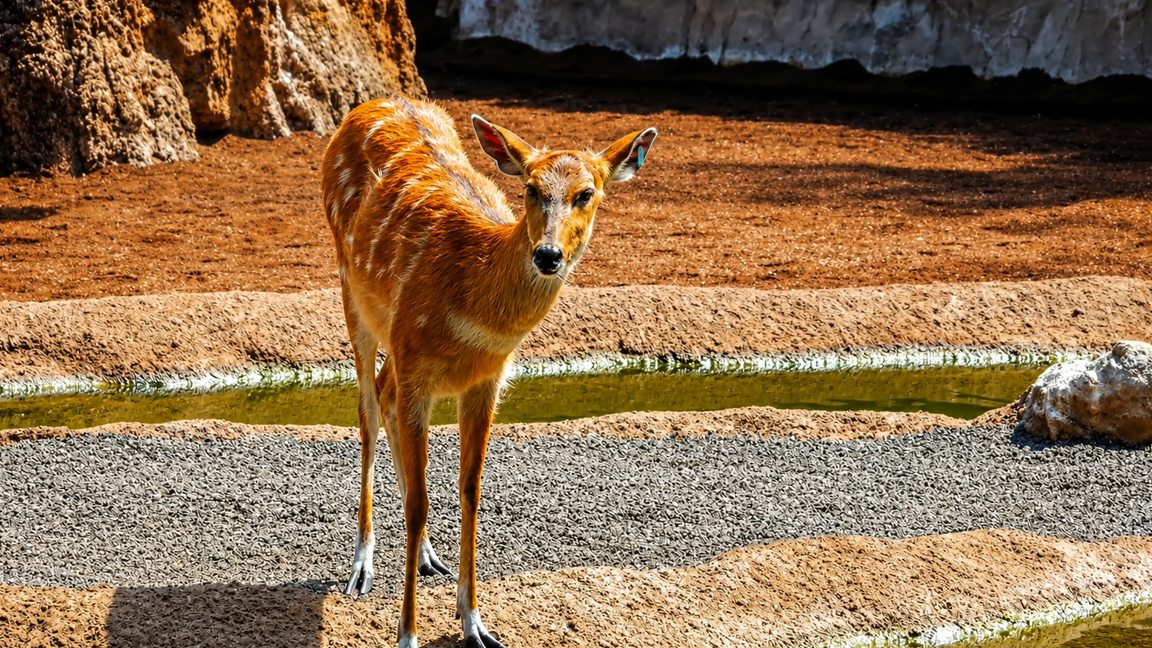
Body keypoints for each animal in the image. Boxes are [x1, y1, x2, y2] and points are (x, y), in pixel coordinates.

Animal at [320, 95, 656, 648]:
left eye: (587, 193)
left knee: (383, 395)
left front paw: (475, 623)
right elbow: (419, 503)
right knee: (367, 409)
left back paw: (428, 556)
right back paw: (362, 566)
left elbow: (471, 492)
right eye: (531, 188)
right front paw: (407, 635)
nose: (548, 254)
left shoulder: (485, 380)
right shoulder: (417, 366)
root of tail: (373, 102)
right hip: (353, 286)